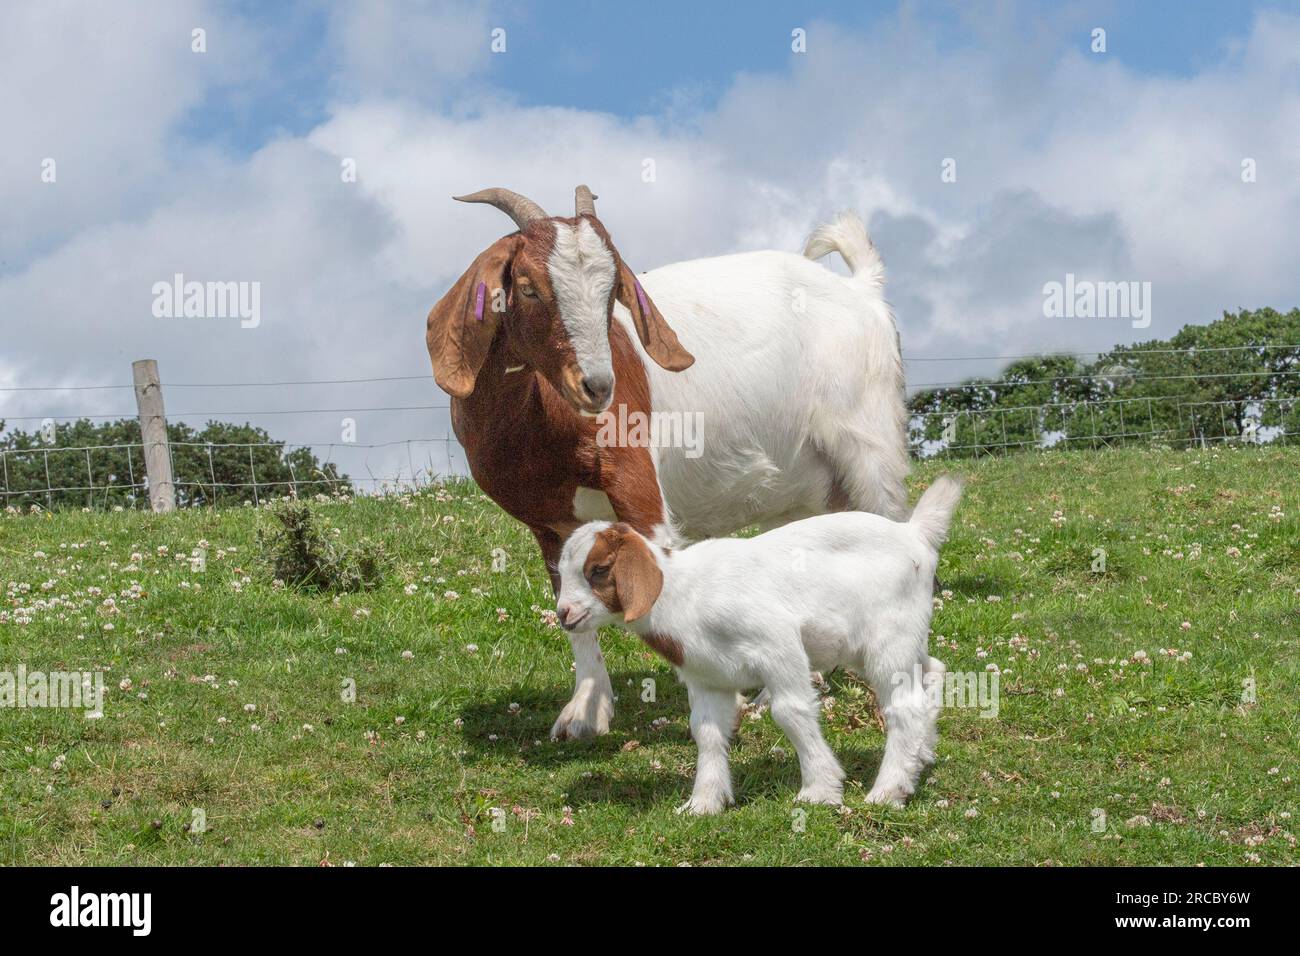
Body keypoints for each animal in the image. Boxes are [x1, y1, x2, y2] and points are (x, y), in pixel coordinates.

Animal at [426, 186, 910, 740]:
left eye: (612, 292)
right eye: (527, 287)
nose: (597, 386)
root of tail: (861, 289)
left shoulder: (635, 481)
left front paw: (717, 702)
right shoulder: (548, 524)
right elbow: (569, 606)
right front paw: (584, 711)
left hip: (870, 446)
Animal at [553, 476, 964, 813]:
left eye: (599, 570)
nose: (563, 613)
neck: (682, 593)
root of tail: (915, 534)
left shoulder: (776, 644)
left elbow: (790, 712)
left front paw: (819, 790)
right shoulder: (707, 676)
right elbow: (706, 731)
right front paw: (704, 803)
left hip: (888, 638)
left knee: (903, 706)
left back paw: (888, 790)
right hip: (891, 640)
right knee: (932, 671)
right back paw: (920, 757)